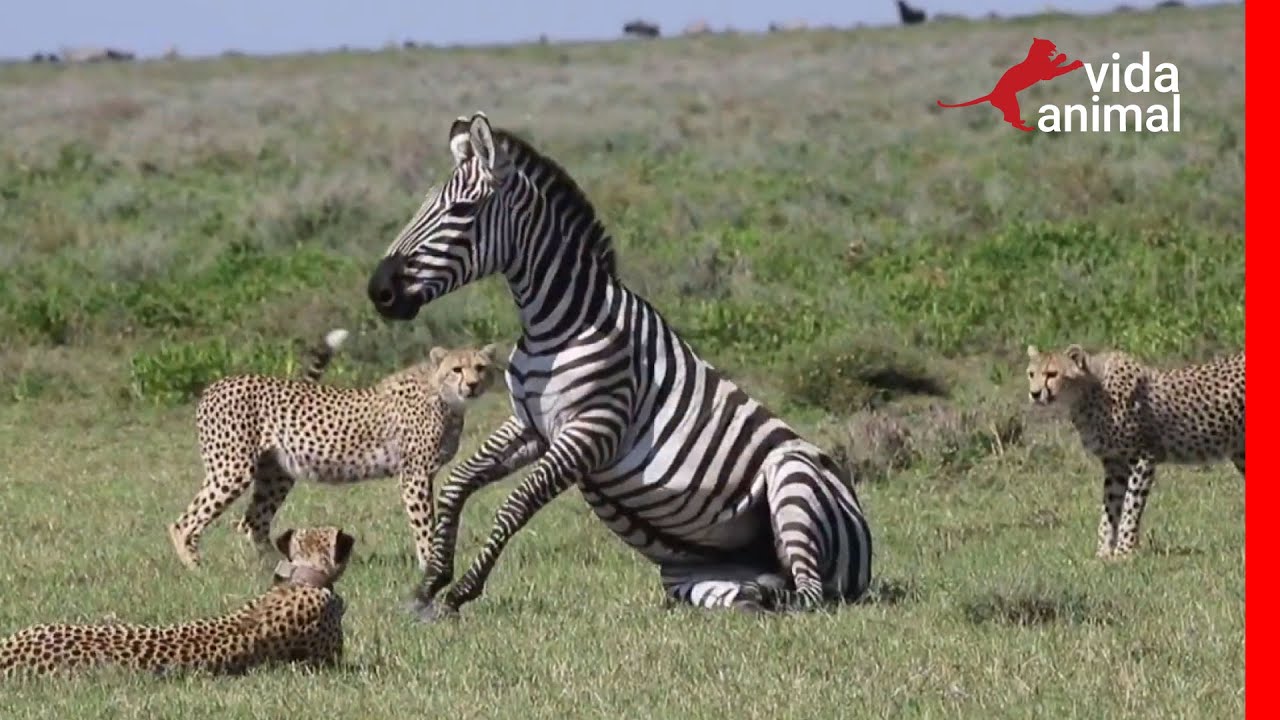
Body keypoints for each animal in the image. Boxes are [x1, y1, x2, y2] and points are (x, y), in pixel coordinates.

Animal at [366, 112, 873, 618]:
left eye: (461, 212)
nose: (379, 290)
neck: (563, 321)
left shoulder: (594, 428)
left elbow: (515, 503)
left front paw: (460, 592)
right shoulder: (531, 425)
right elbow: (459, 482)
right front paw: (429, 582)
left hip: (793, 478)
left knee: (810, 594)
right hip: (696, 578)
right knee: (756, 594)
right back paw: (758, 594)